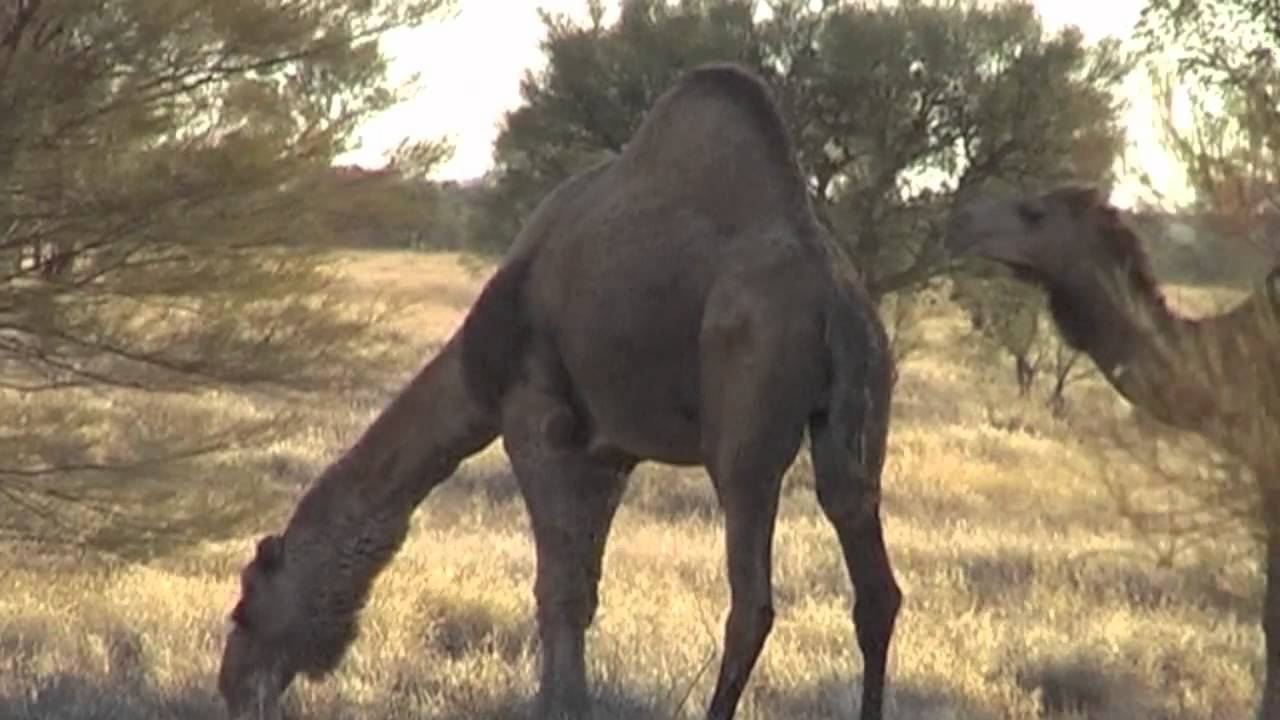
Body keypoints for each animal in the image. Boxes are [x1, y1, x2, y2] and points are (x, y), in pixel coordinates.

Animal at [217, 63, 902, 720]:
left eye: (246, 605)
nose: (231, 686)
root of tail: (835, 298)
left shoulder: (535, 416)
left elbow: (558, 590)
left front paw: (560, 704)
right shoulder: (610, 451)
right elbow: (583, 586)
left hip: (746, 420)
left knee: (751, 599)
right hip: (861, 409)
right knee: (872, 578)